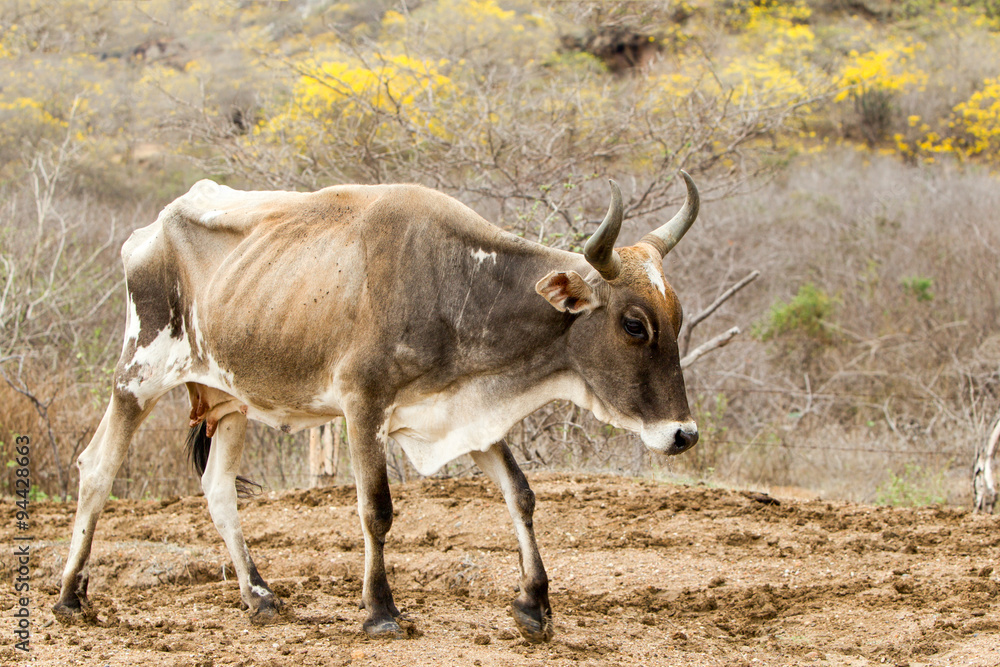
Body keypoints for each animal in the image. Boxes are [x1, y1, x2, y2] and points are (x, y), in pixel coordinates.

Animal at [52, 171, 701, 642]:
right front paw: (380, 610)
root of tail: (151, 230)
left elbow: (521, 494)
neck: (453, 281)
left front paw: (534, 603)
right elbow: (377, 510)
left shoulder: (466, 414)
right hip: (138, 377)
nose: (684, 435)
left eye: (676, 319)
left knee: (217, 488)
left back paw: (258, 595)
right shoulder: (362, 406)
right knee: (97, 469)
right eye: (634, 324)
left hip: (229, 400)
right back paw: (69, 597)